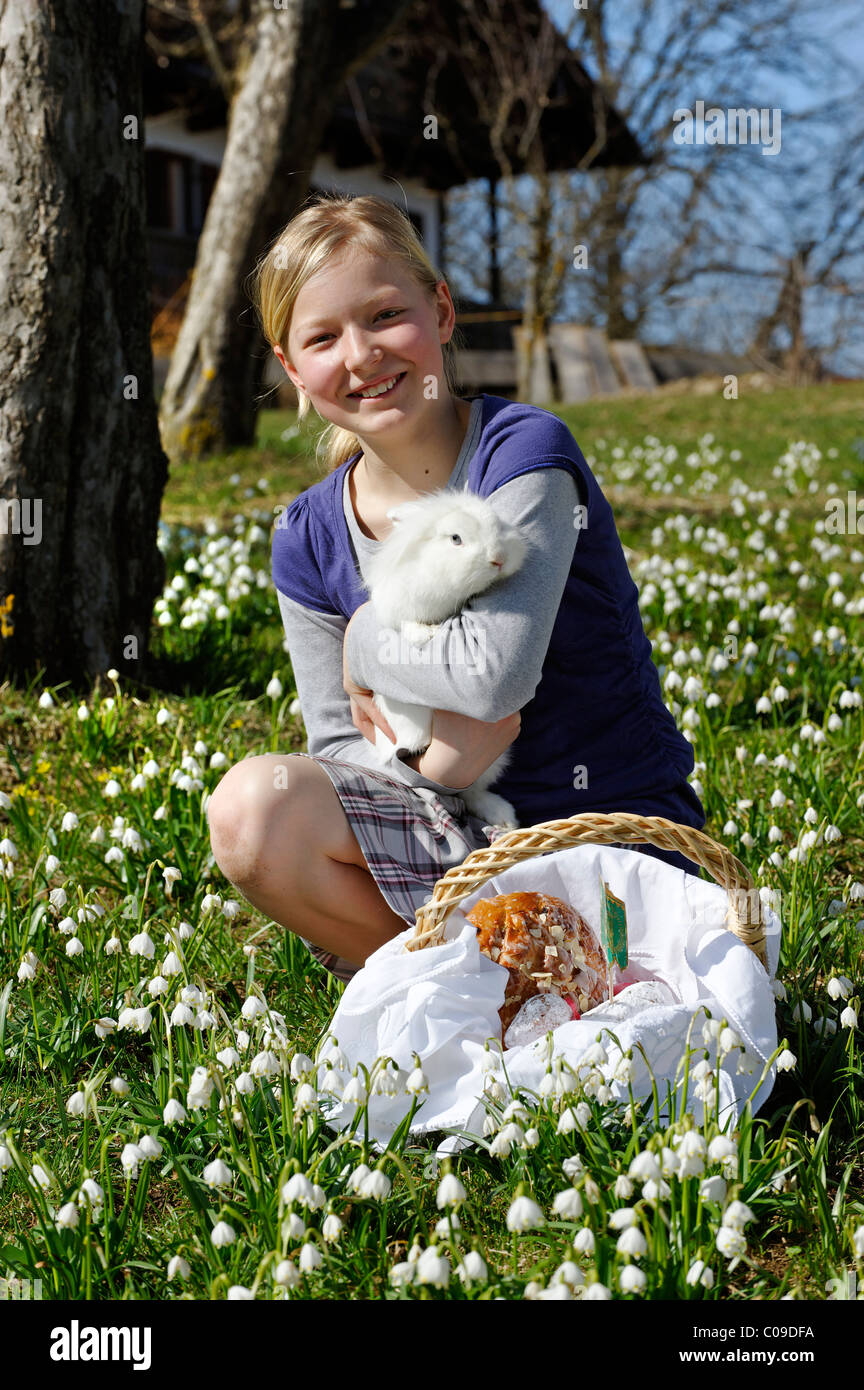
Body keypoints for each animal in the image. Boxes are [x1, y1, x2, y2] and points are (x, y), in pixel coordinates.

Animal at [362, 489, 528, 828]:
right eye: (455, 538)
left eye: (499, 525)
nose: (499, 558)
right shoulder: (397, 606)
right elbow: (406, 624)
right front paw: (425, 635)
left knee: (473, 792)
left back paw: (504, 819)